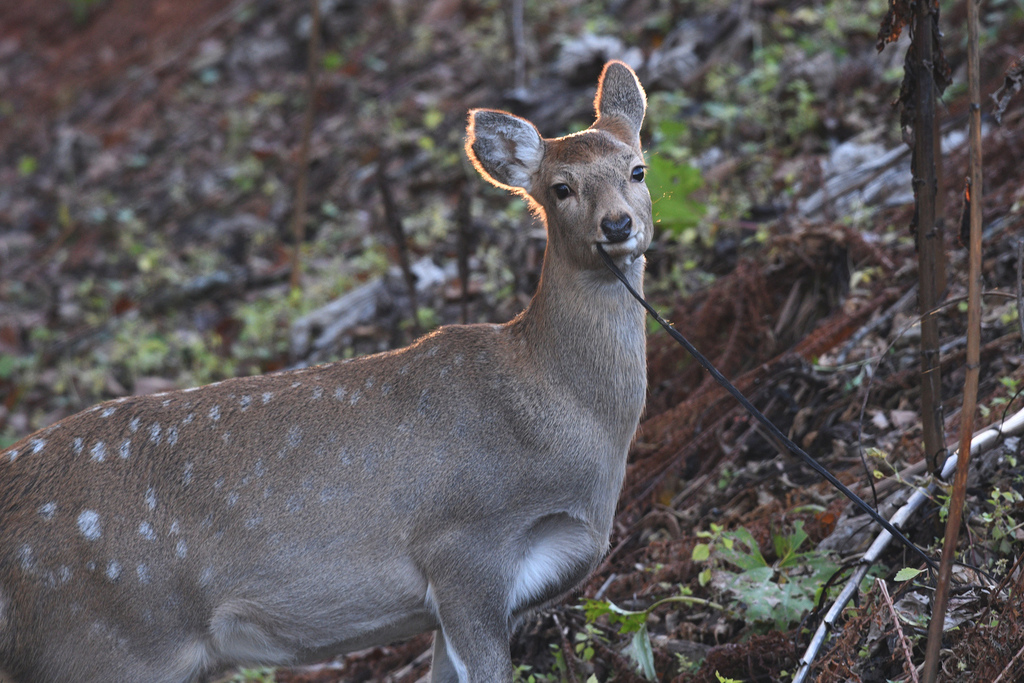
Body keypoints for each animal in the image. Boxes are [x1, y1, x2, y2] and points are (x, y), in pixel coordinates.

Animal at [0, 60, 652, 683]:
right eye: (561, 188)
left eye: (638, 170)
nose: (618, 225)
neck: (556, 407)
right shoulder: (463, 547)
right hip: (96, 644)